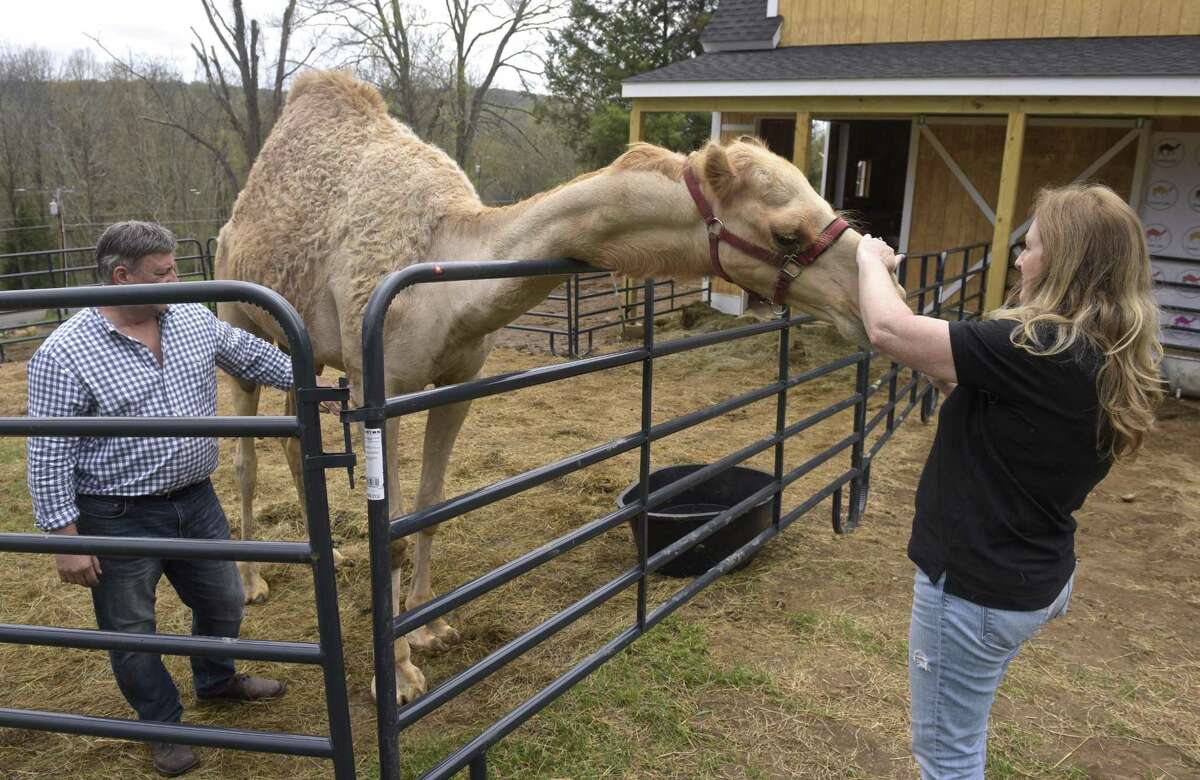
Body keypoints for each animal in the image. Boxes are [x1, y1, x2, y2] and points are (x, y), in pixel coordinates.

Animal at [216, 70, 867, 703]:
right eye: (786, 233)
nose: (870, 287)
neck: (448, 264)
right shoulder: (383, 387)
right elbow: (392, 537)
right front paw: (396, 676)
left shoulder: (458, 381)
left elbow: (429, 509)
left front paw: (429, 626)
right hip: (239, 323)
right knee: (245, 458)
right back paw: (251, 581)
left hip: (300, 351)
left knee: (293, 436)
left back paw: (330, 552)